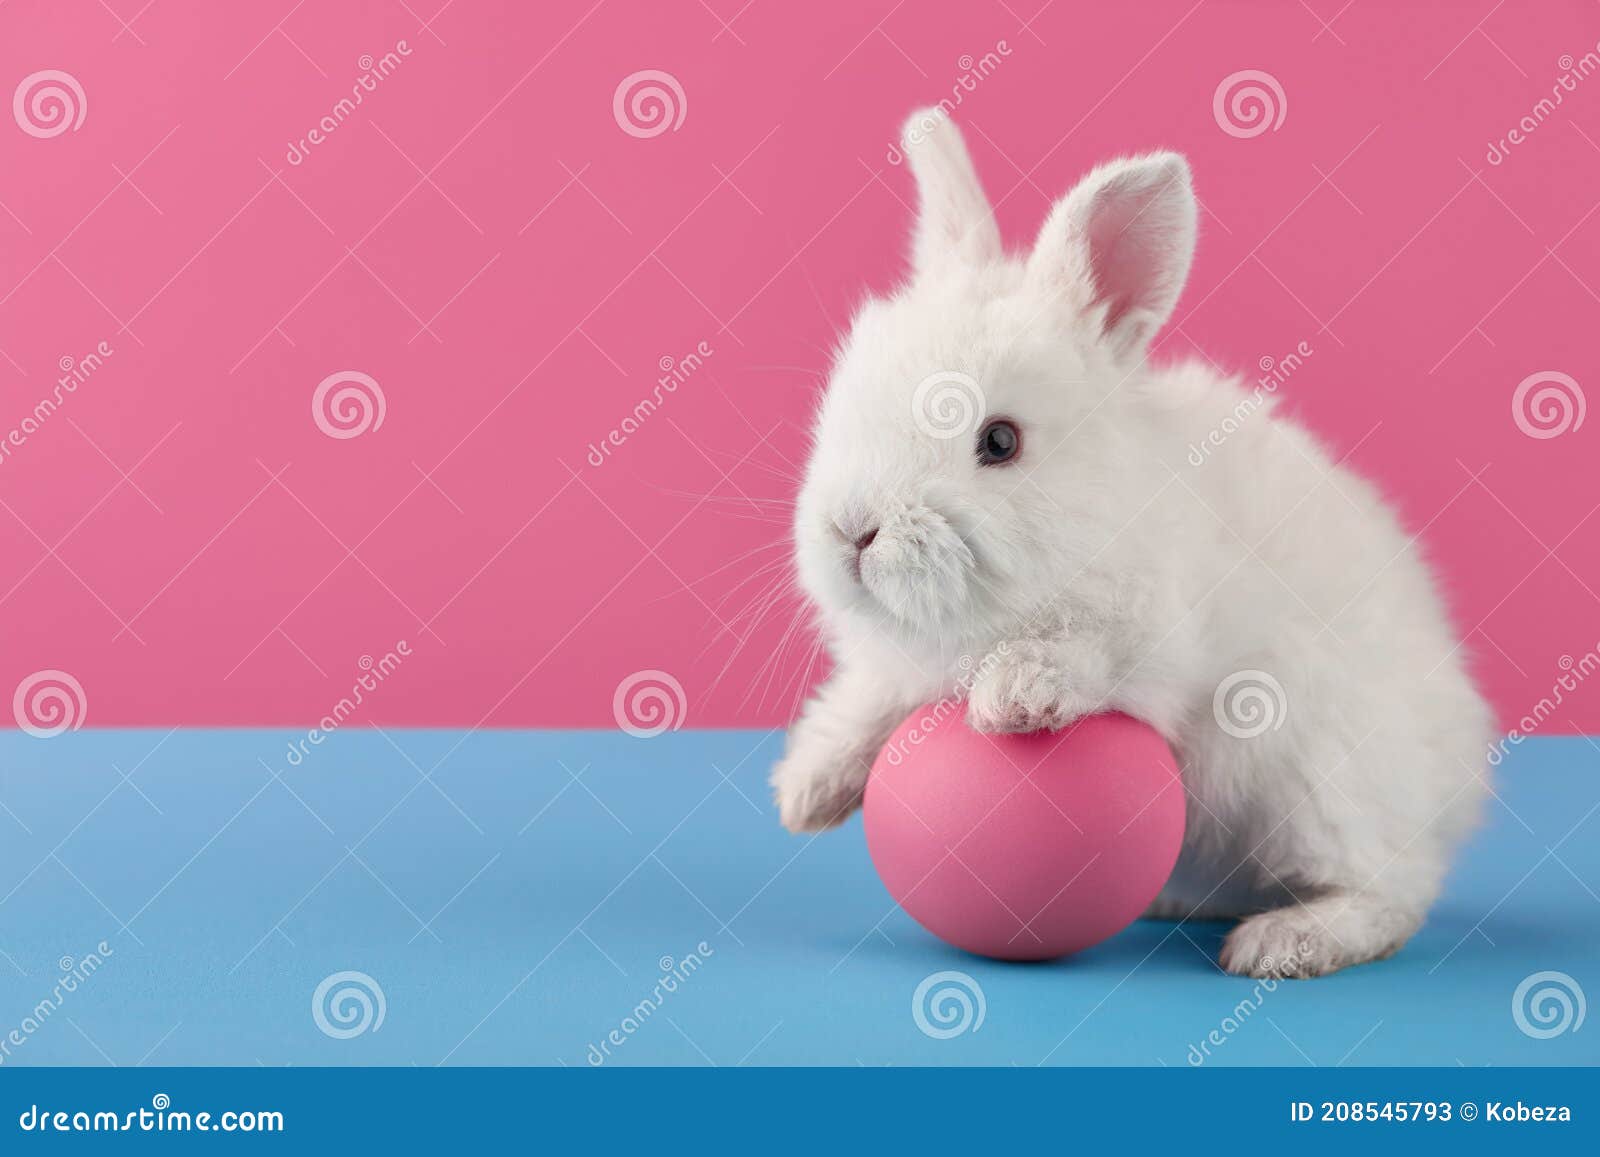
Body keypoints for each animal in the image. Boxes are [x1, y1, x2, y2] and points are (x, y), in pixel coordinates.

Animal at [769, 108, 1494, 979]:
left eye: (1000, 441)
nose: (852, 531)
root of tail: (1458, 777)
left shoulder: (1154, 641)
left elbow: (1085, 654)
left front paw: (1012, 694)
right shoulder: (895, 673)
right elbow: (864, 705)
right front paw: (806, 793)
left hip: (1321, 778)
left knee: (1394, 892)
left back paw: (1285, 941)